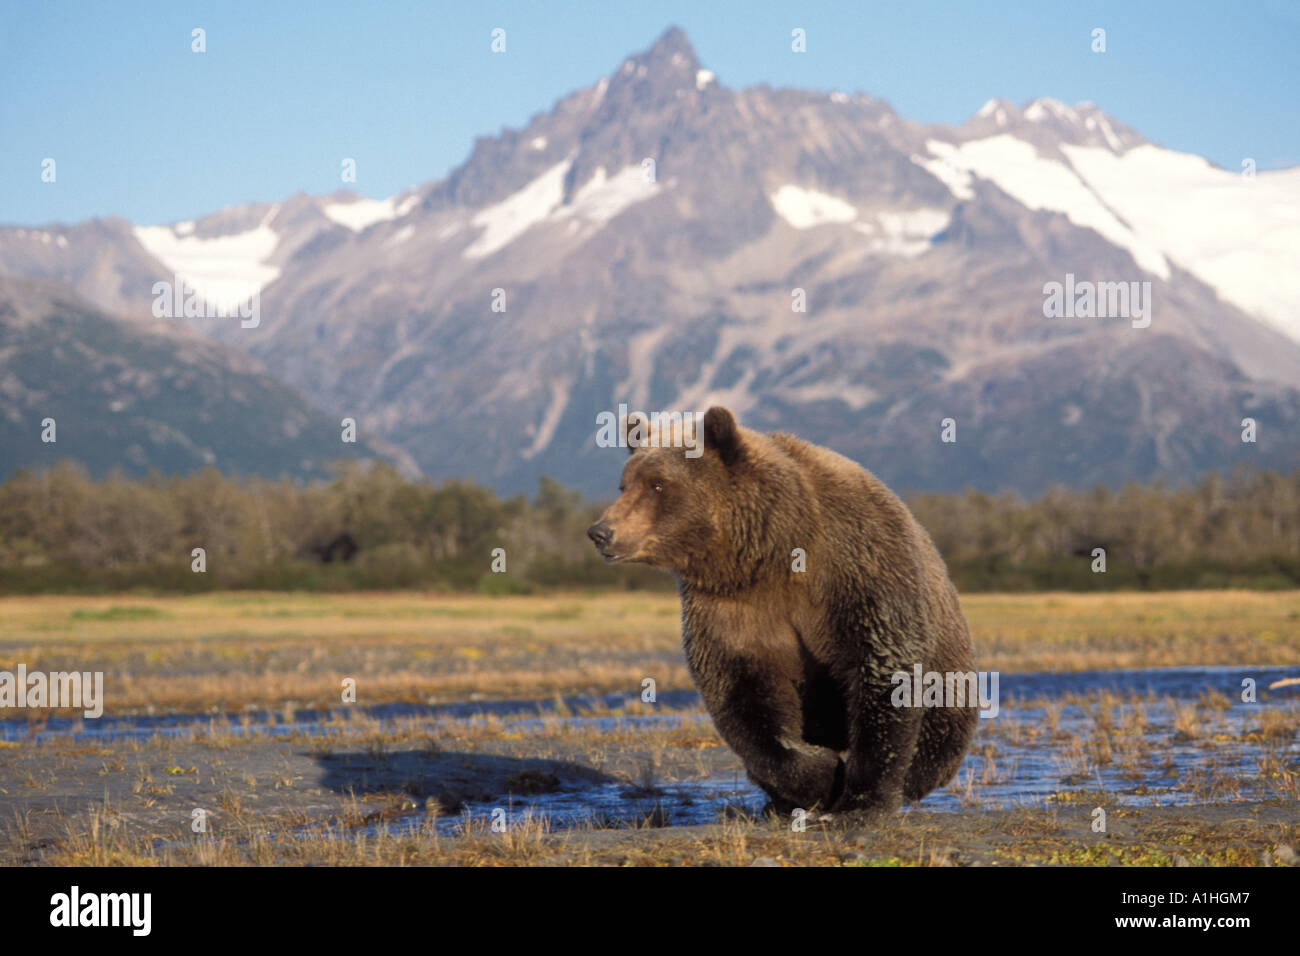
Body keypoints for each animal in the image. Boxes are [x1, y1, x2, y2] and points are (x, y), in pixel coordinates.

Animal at [587, 406, 978, 817]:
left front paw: (861, 800)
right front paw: (820, 775)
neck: (776, 550)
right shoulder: (735, 605)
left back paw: (916, 772)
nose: (601, 531)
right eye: (624, 485)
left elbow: (882, 668)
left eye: (658, 484)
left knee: (942, 718)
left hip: (949, 652)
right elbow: (745, 692)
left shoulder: (855, 568)